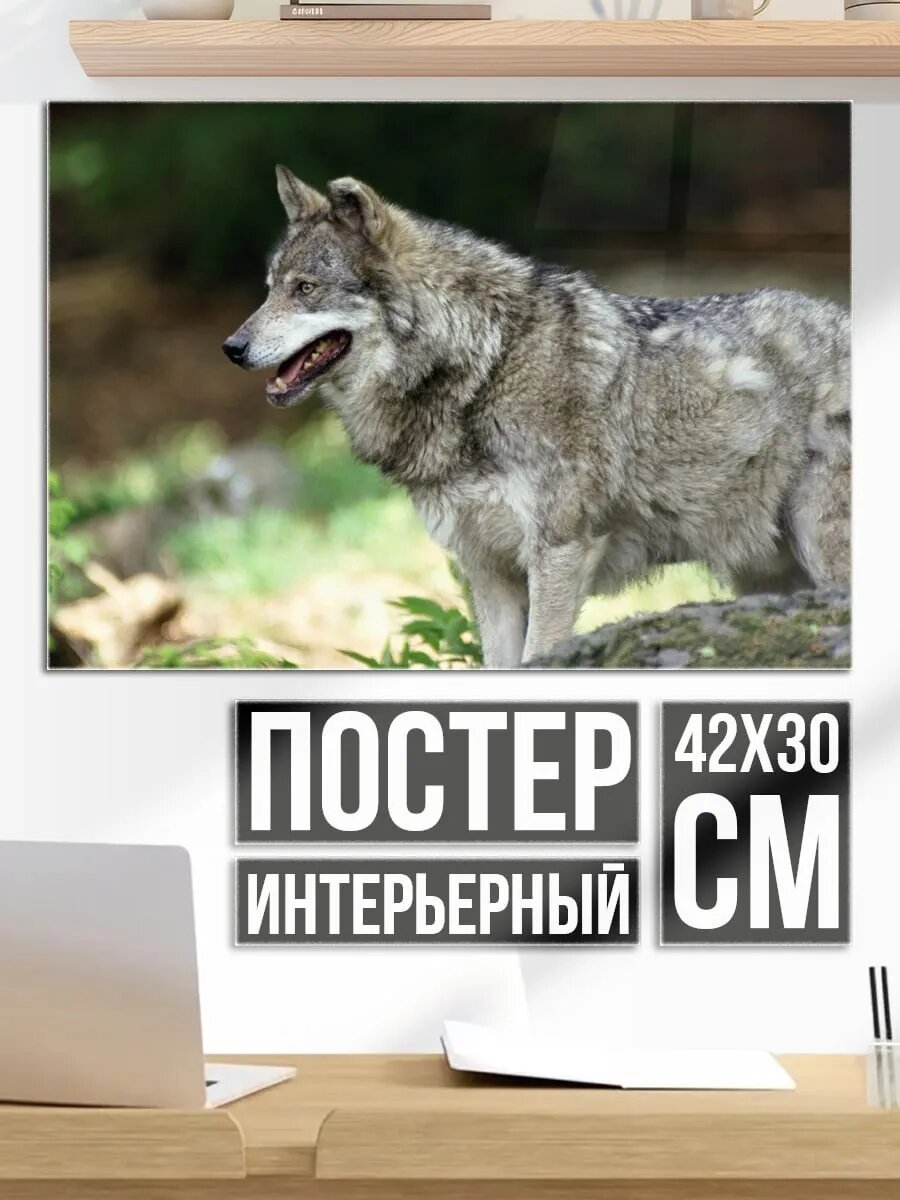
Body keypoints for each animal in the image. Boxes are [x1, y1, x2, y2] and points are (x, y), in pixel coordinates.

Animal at [224, 167, 851, 668]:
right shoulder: (488, 570)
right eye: (270, 289)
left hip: (821, 551)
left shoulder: (559, 552)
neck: (485, 365)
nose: (232, 348)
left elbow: (538, 655)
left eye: (305, 289)